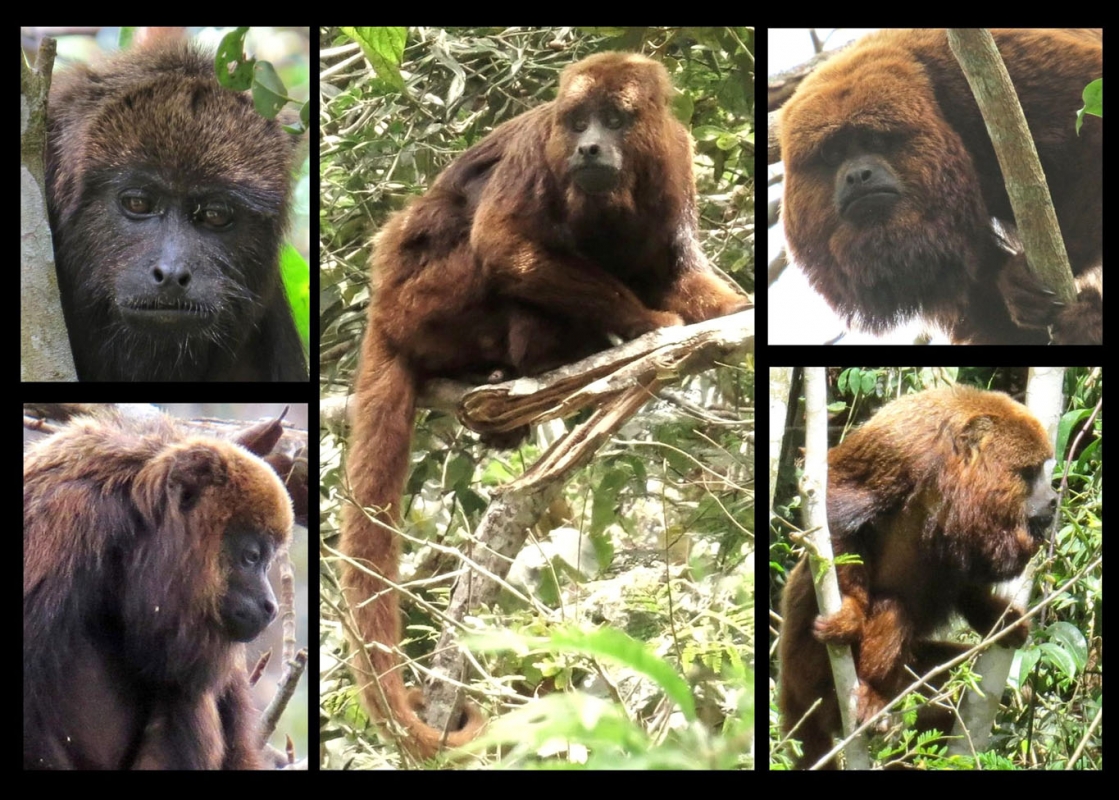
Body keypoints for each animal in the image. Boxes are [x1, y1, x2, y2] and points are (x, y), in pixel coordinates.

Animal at [342, 51, 749, 758]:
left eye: (614, 119)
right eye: (578, 121)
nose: (588, 146)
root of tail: (382, 308)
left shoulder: (677, 156)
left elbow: (679, 268)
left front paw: (728, 313)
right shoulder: (538, 146)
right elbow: (505, 244)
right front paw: (649, 323)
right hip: (425, 297)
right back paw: (543, 354)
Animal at [777, 387, 1056, 768]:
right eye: (1028, 473)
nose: (1053, 499)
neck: (951, 467)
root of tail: (789, 689)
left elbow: (964, 580)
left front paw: (1001, 618)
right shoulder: (901, 445)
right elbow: (835, 508)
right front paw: (850, 611)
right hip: (809, 671)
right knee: (893, 608)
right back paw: (871, 697)